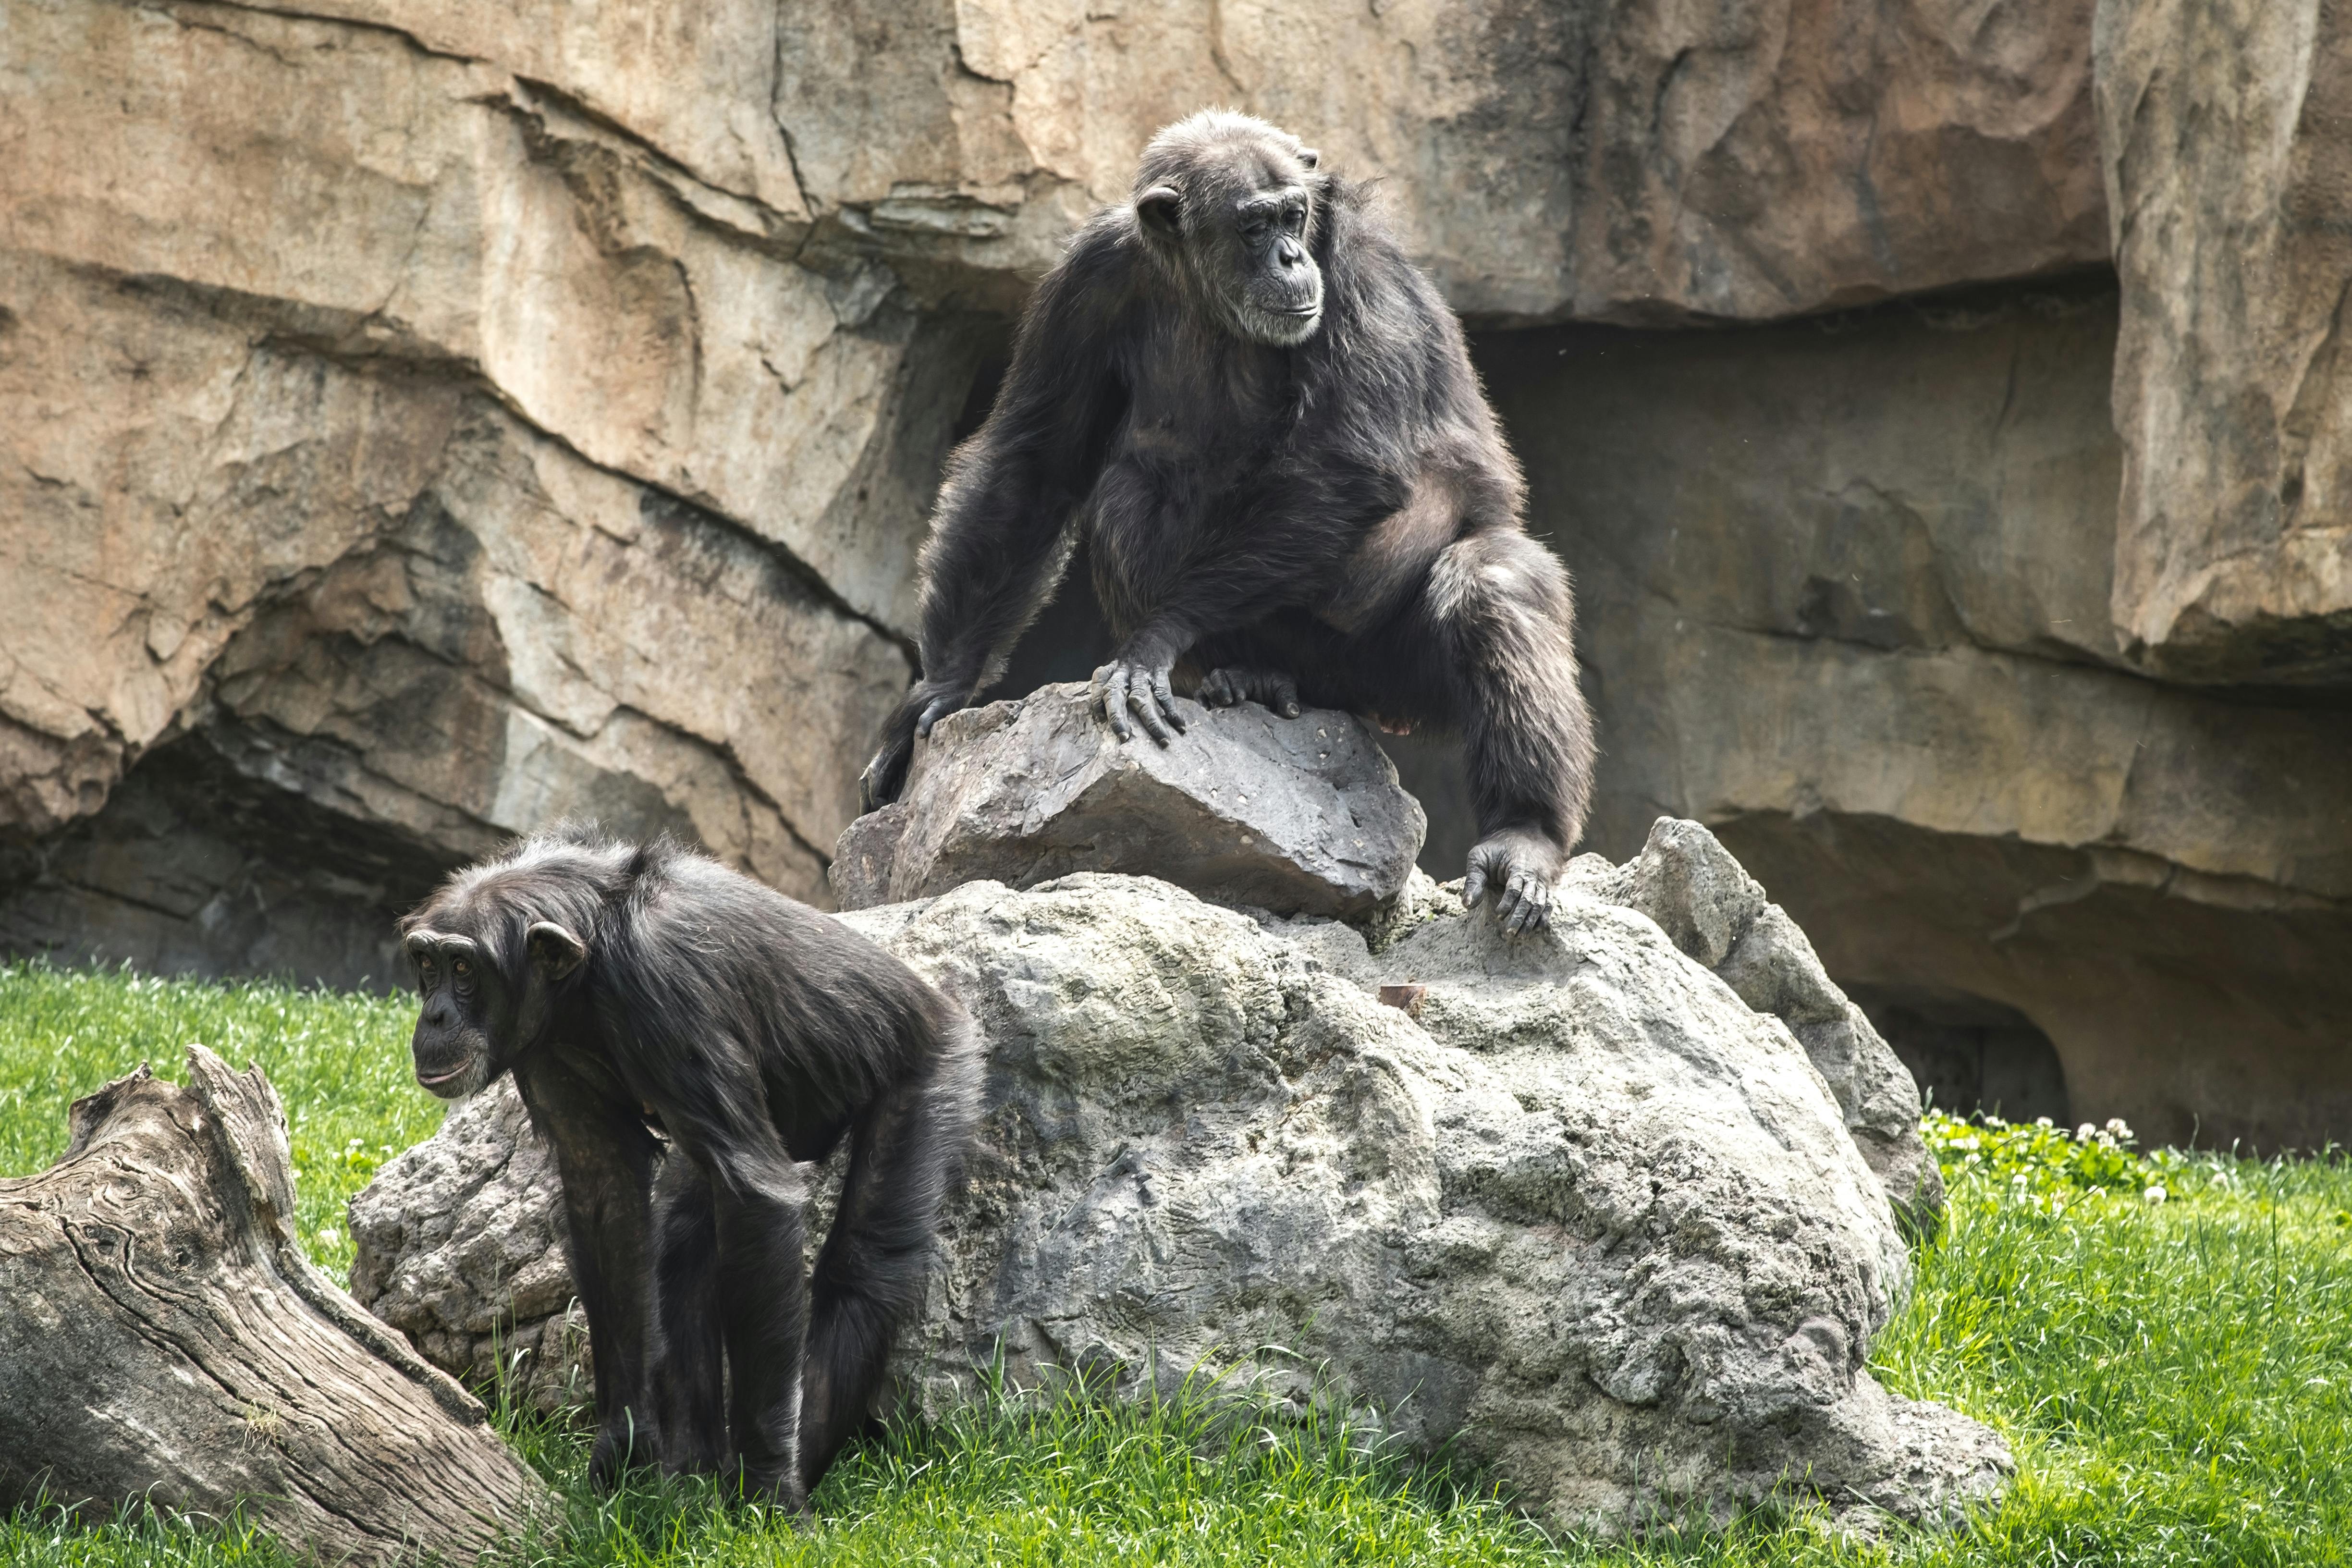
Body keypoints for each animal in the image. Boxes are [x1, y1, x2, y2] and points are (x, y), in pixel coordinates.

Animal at [400, 827, 980, 1508]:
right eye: (427, 964)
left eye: (464, 969)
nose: (435, 1014)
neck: (592, 962)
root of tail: (941, 1002)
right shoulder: (542, 1046)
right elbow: (607, 1192)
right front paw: (622, 1448)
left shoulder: (668, 987)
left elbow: (758, 1197)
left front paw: (769, 1496)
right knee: (685, 1243)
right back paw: (693, 1477)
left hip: (932, 1068)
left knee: (864, 1261)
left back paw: (782, 1474)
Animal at [860, 110, 1594, 932]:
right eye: (1253, 224)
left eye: (1294, 216)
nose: (1288, 256)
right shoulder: (1084, 279)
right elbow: (1035, 459)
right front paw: (938, 691)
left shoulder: (1364, 271)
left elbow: (1351, 466)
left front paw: (1152, 642)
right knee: (1126, 489)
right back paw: (1249, 676)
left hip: (1397, 679)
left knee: (1494, 584)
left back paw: (1524, 835)